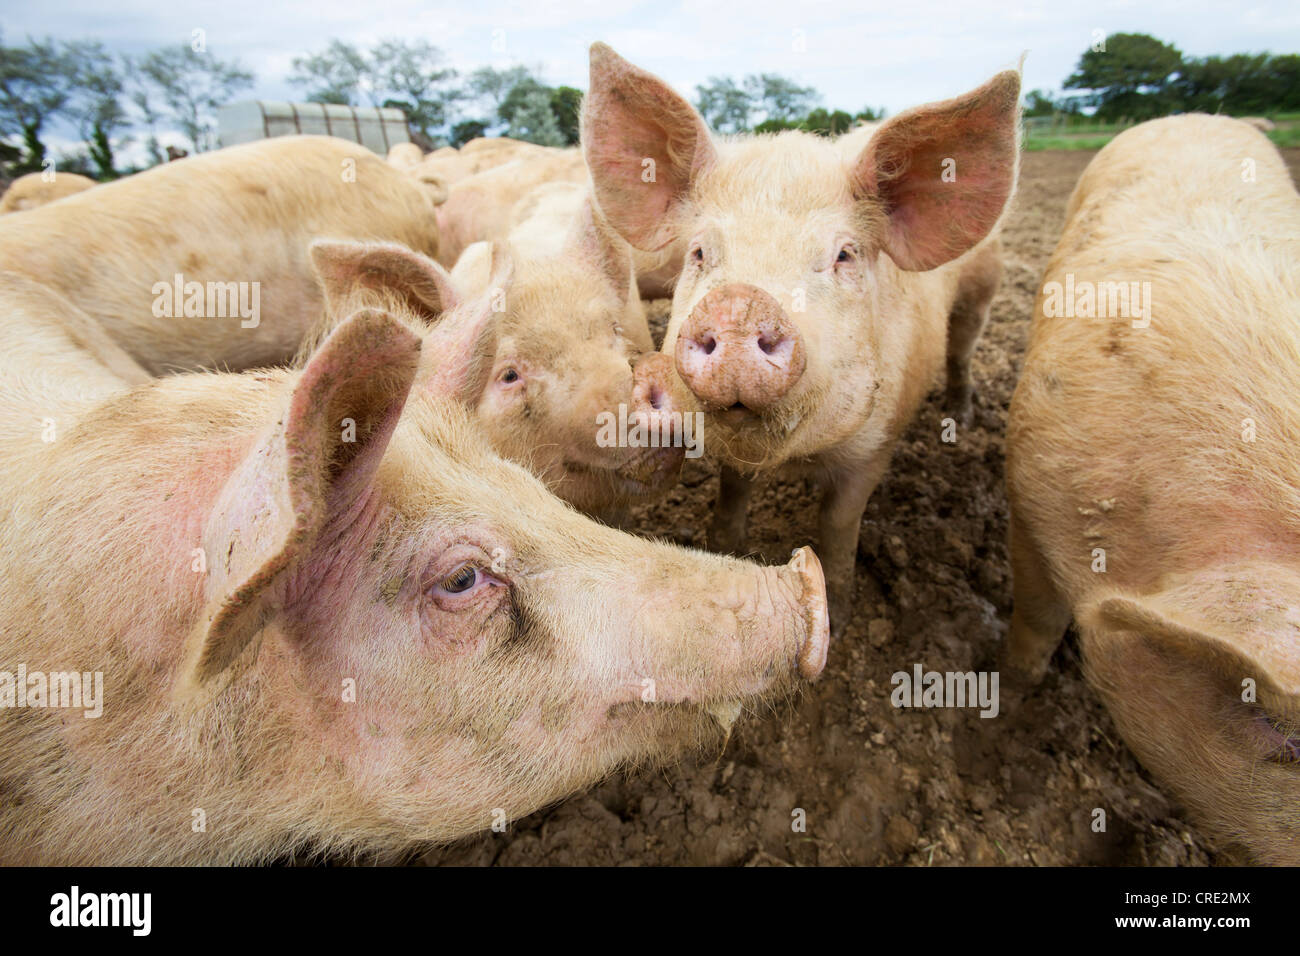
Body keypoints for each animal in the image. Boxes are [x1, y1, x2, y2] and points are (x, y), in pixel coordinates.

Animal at [581, 43, 1020, 633]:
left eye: (844, 255)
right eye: (699, 252)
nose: (739, 305)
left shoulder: (877, 441)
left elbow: (839, 521)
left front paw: (845, 611)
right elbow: (734, 487)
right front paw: (726, 545)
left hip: (983, 288)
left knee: (963, 349)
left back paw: (963, 416)